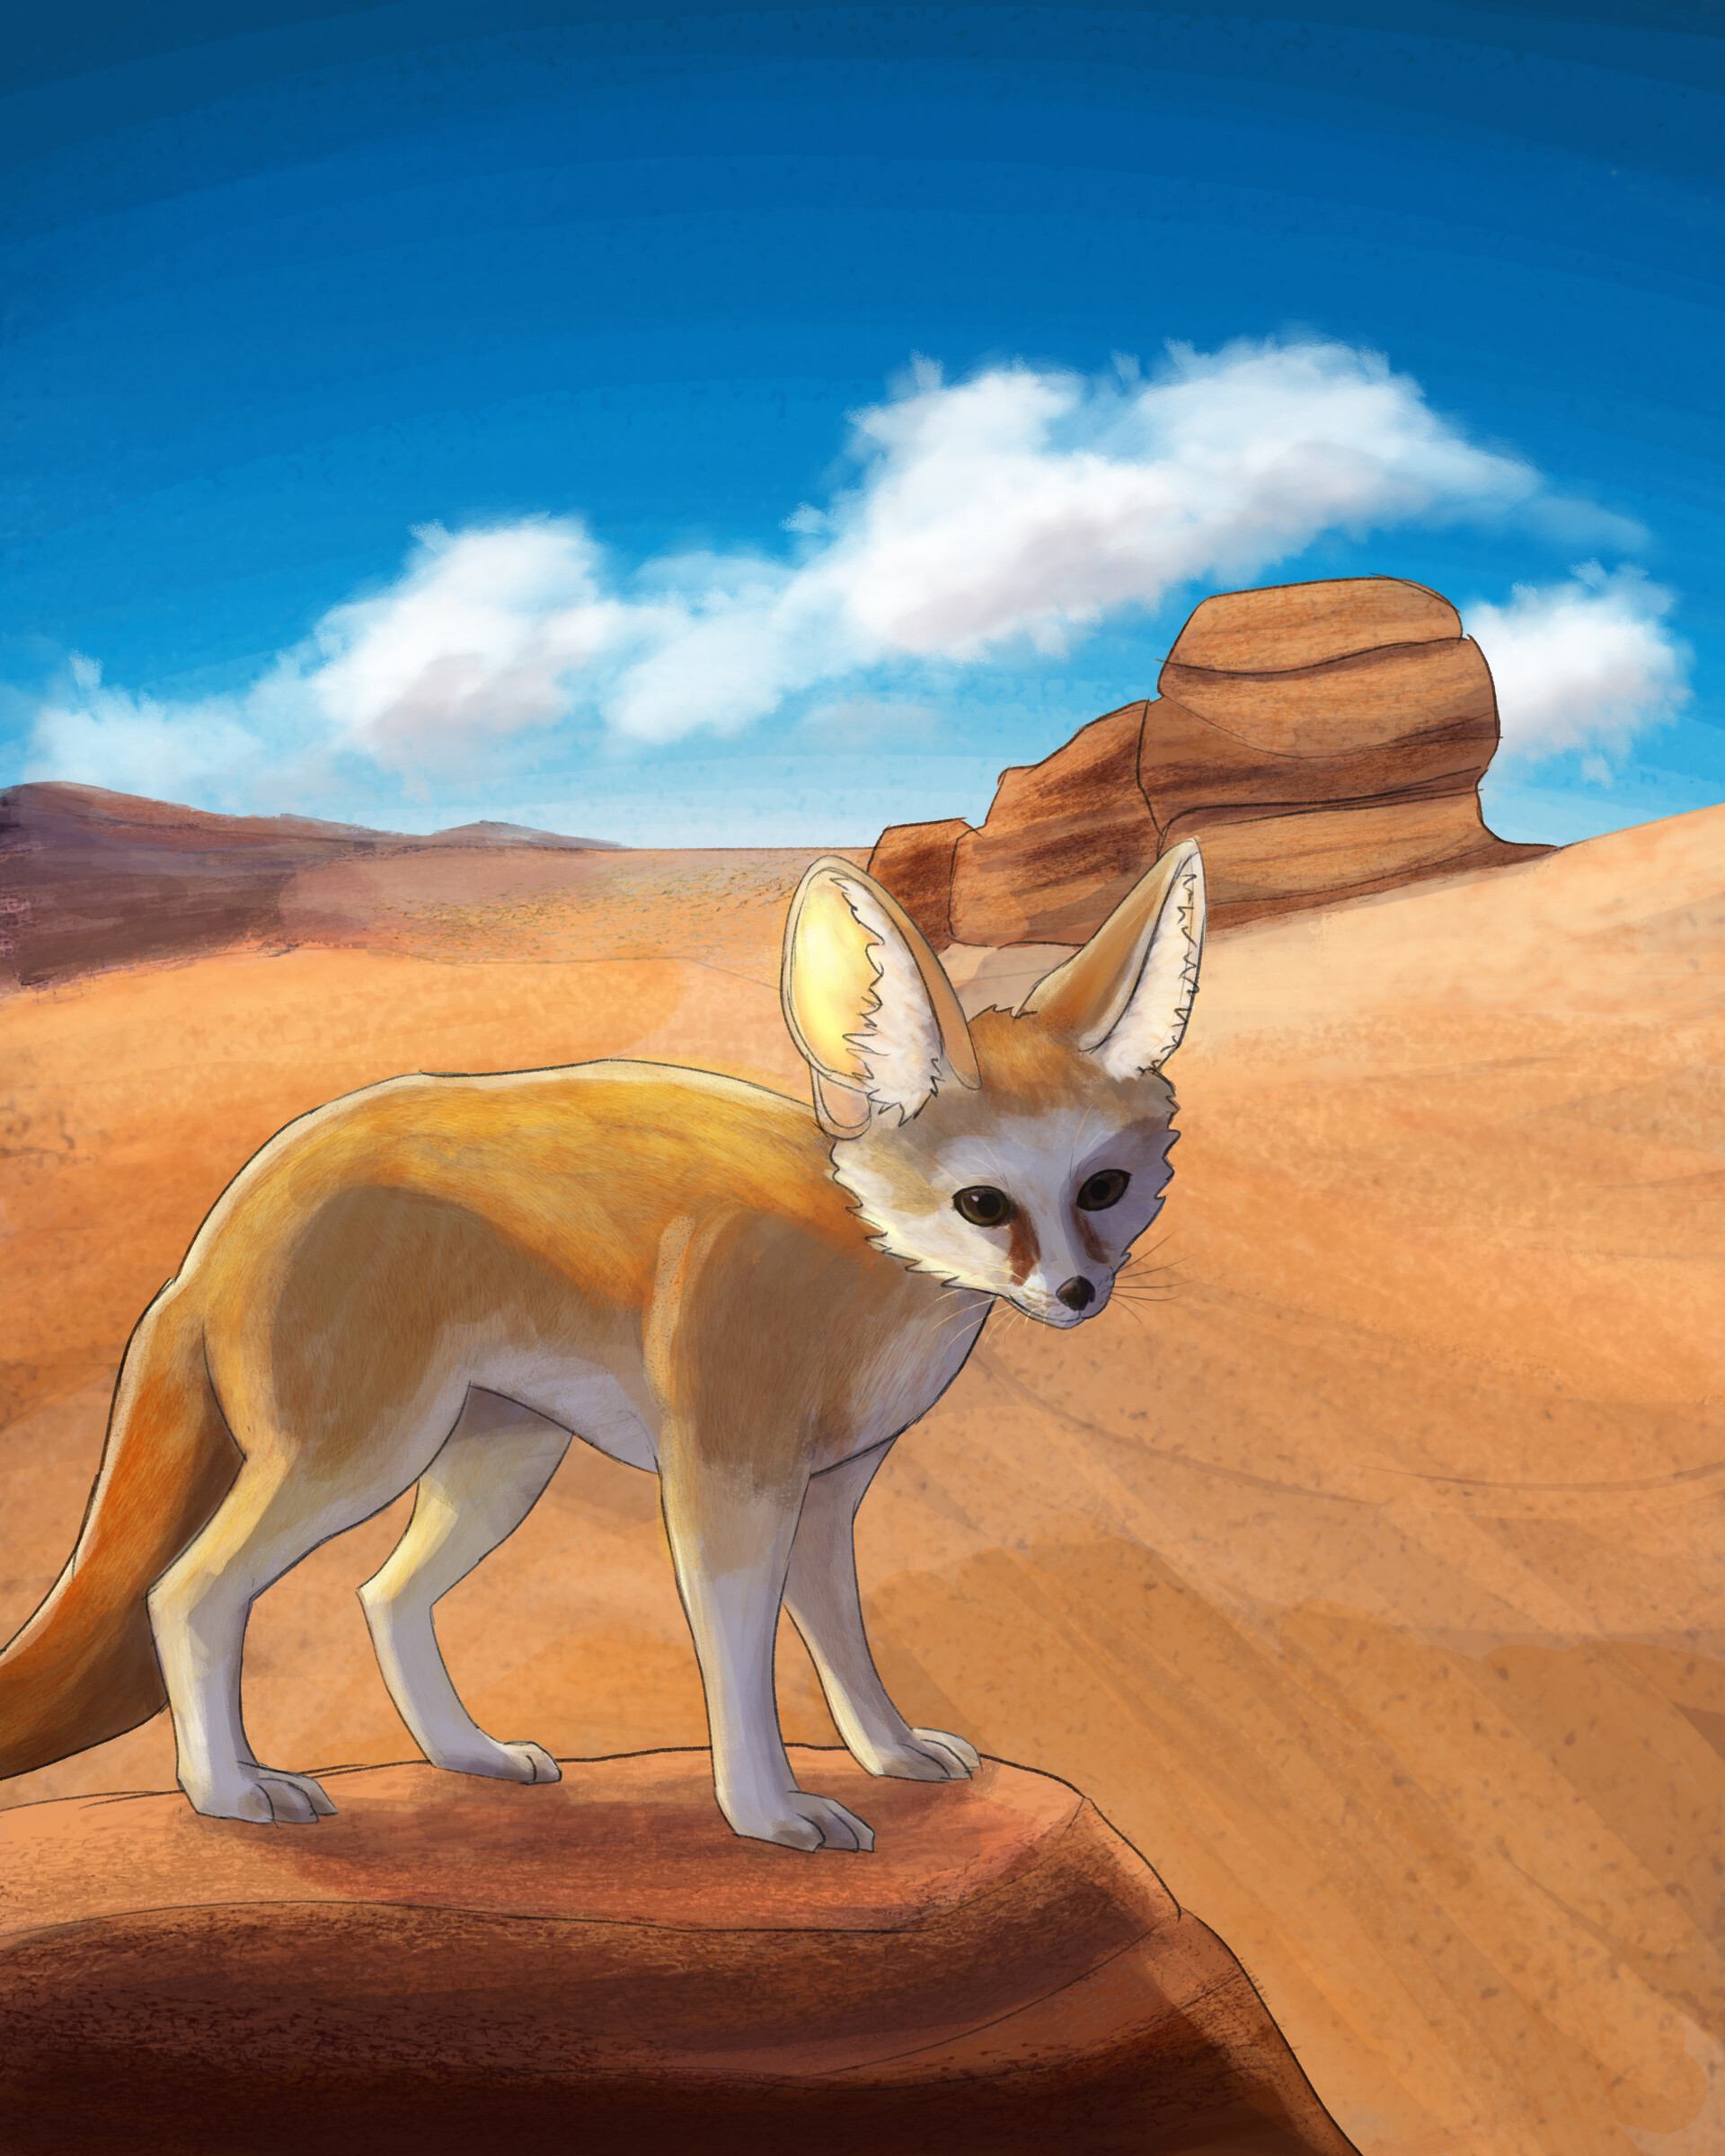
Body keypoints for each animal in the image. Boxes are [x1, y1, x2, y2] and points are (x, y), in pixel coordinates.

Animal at [0, 840, 1204, 1851]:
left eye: (1102, 1189)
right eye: (984, 1204)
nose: (1078, 1292)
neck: (863, 1260)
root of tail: (217, 1231)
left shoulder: (827, 1496)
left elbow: (845, 1647)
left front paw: (891, 1752)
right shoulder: (725, 1478)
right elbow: (739, 1663)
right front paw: (767, 1812)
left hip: (498, 1462)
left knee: (384, 1597)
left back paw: (467, 1756)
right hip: (358, 1456)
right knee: (187, 1595)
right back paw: (229, 1792)